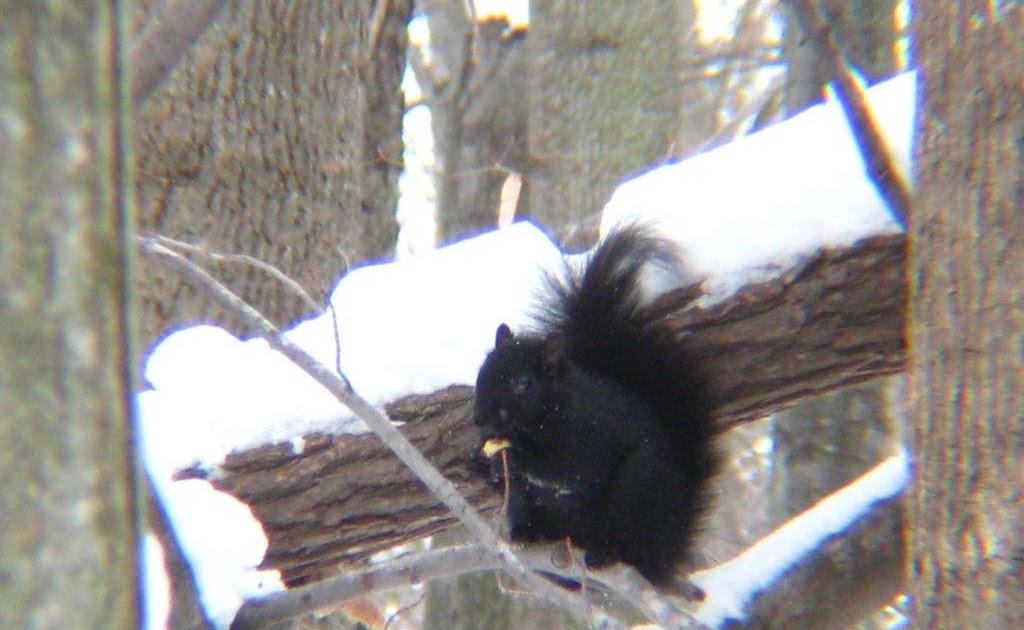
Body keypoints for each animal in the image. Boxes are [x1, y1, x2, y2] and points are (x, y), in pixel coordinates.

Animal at [473, 225, 719, 592]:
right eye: (483, 368)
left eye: (524, 383)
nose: (480, 419)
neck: (554, 412)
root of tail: (666, 551)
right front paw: (479, 460)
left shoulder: (585, 441)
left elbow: (558, 469)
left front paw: (512, 456)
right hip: (528, 508)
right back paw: (527, 534)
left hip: (638, 492)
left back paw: (606, 552)